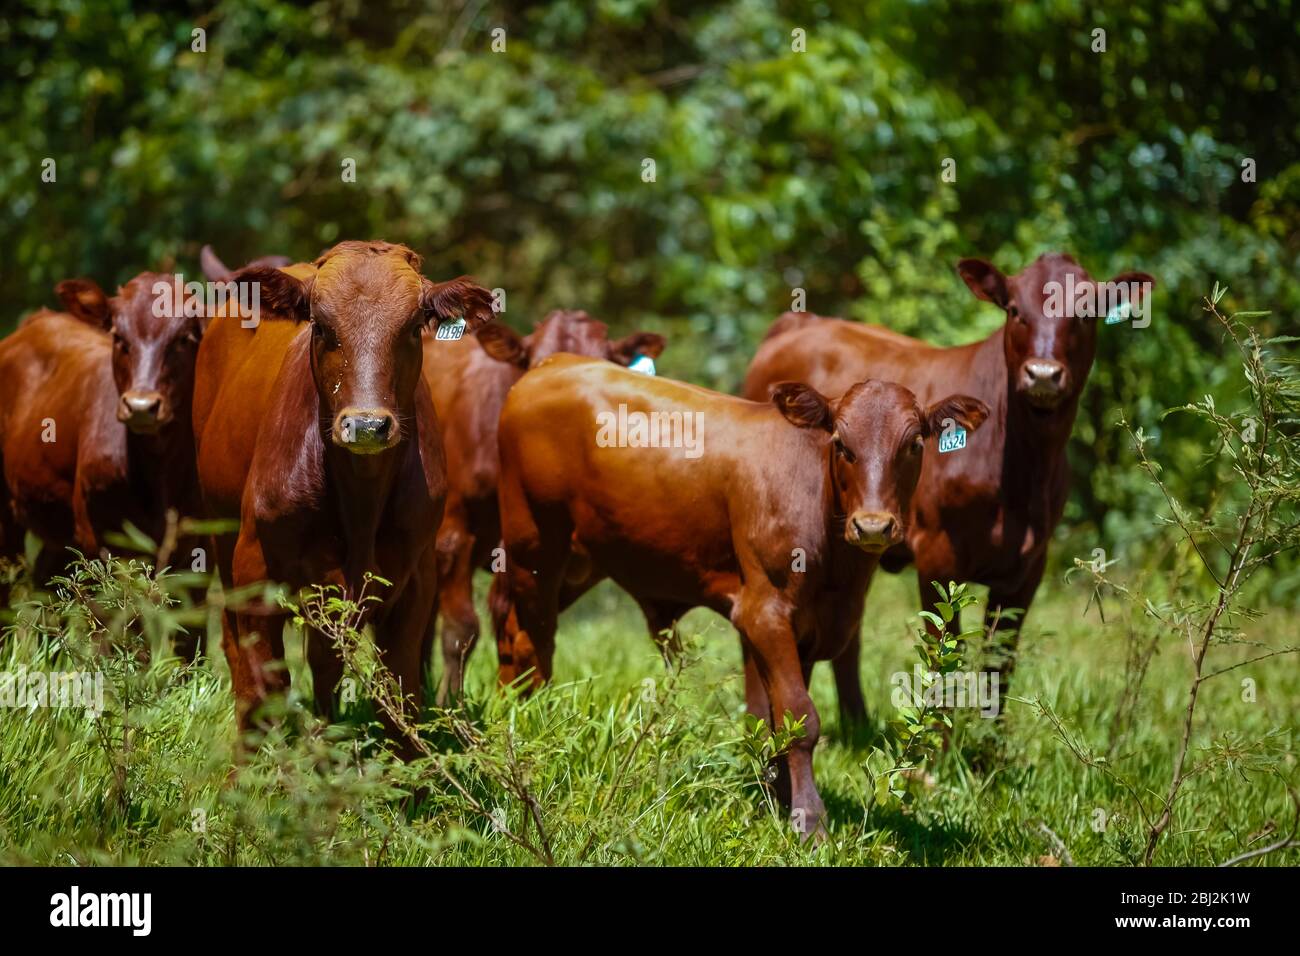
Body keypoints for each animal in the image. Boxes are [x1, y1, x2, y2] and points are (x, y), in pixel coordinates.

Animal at [0, 272, 207, 656]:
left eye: (184, 339)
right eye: (118, 337)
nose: (141, 406)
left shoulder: (197, 545)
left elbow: (189, 635)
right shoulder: (99, 540)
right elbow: (116, 628)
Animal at [191, 240, 493, 737]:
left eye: (414, 326)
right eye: (320, 325)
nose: (367, 425)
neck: (360, 505)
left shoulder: (414, 579)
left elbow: (399, 697)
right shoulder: (254, 566)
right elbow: (261, 689)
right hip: (221, 534)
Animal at [491, 354, 987, 832]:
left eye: (914, 445)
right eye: (841, 444)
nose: (872, 525)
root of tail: (550, 366)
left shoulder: (809, 627)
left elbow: (775, 716)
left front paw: (779, 800)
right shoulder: (763, 612)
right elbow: (800, 716)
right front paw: (809, 820)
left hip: (581, 561)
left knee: (512, 635)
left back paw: (506, 716)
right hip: (535, 544)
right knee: (532, 641)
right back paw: (532, 725)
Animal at [742, 253, 1155, 724]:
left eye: (1085, 314)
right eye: (1015, 310)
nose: (1043, 374)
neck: (1021, 469)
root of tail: (801, 322)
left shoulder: (1029, 565)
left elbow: (999, 666)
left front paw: (989, 744)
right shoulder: (938, 554)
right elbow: (945, 662)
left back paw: (858, 724)